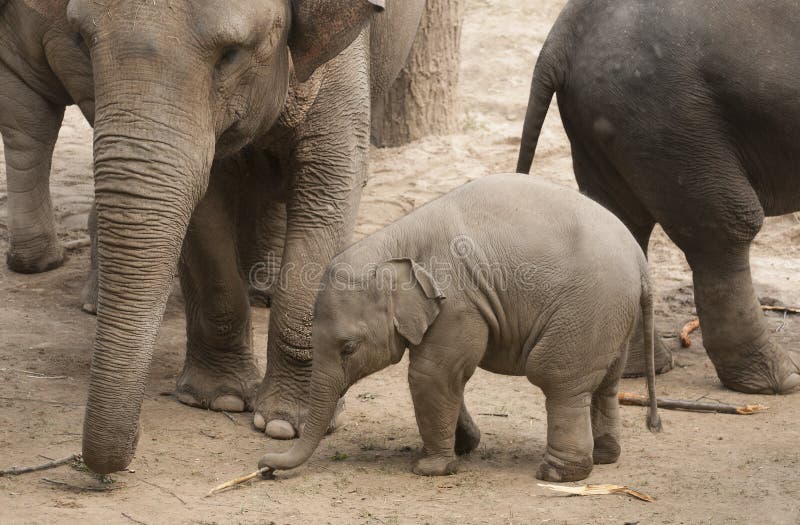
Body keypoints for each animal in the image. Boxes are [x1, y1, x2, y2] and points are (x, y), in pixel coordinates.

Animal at [66, 0, 425, 473]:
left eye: (231, 53)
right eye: (80, 39)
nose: (124, 457)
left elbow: (329, 185)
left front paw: (287, 423)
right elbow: (204, 207)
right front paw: (220, 399)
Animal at [258, 174, 661, 482]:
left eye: (348, 348)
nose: (265, 467)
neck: (395, 241)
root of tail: (641, 263)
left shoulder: (457, 303)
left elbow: (430, 373)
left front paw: (430, 467)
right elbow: (451, 377)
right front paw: (464, 446)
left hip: (585, 310)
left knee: (559, 381)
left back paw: (557, 475)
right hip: (612, 316)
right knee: (607, 383)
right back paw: (605, 457)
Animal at [517, 0, 800, 394]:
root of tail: (562, 33)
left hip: (611, 119)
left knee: (623, 222)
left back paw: (634, 367)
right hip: (669, 116)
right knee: (725, 229)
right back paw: (779, 380)